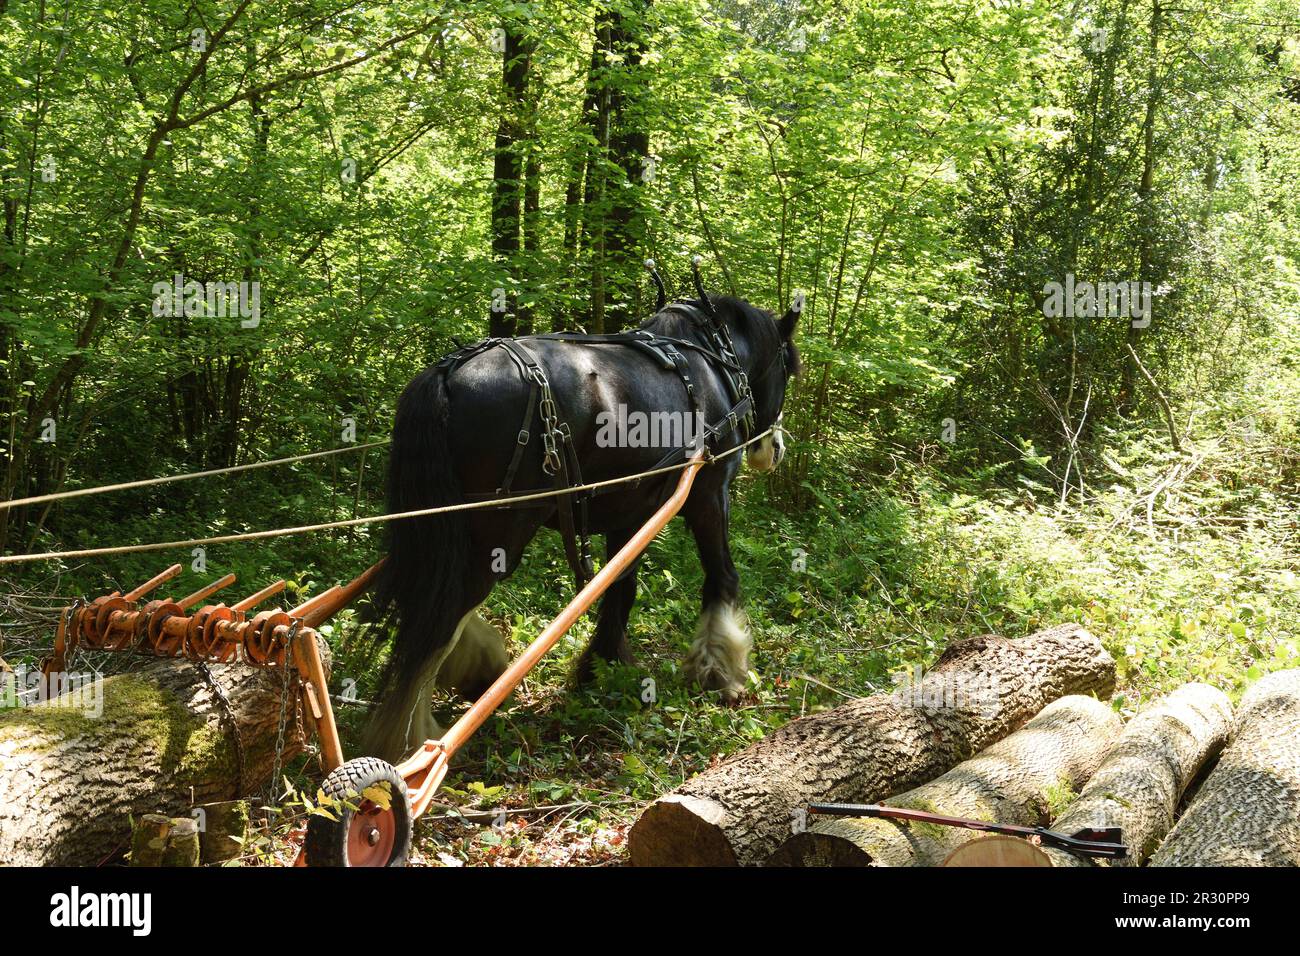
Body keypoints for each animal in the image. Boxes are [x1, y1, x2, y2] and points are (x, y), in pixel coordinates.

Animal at [363, 291, 801, 760]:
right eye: (788, 368)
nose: (775, 449)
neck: (708, 360)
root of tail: (447, 374)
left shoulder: (630, 511)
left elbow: (621, 588)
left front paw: (602, 664)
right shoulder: (709, 496)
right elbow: (722, 576)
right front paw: (722, 671)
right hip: (500, 532)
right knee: (438, 618)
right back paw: (407, 740)